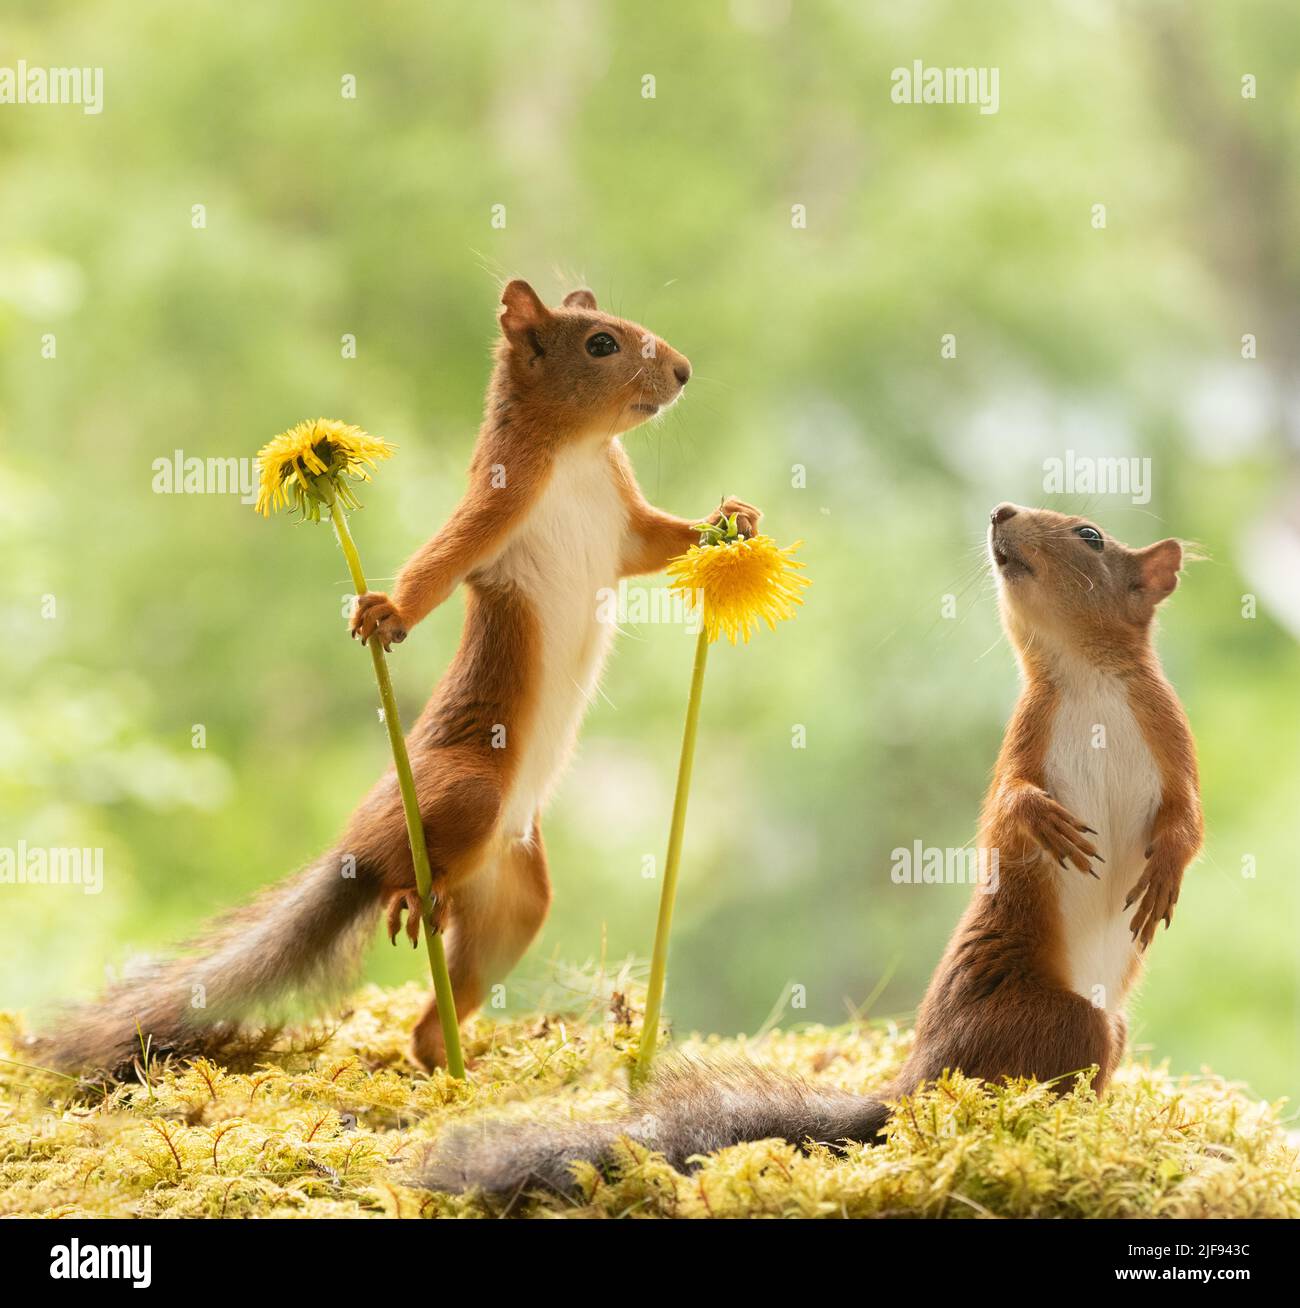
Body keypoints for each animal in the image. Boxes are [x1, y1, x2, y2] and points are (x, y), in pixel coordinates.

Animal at [38, 279, 761, 1078]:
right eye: (602, 343)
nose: (684, 372)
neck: (578, 455)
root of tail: (359, 848)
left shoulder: (624, 521)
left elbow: (664, 541)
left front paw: (731, 518)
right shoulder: (498, 500)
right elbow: (439, 563)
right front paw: (387, 611)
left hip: (516, 899)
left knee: (462, 976)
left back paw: (446, 1057)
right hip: (466, 791)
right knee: (401, 877)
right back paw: (414, 904)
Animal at [420, 503, 1203, 1196]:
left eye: (1091, 535)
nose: (1001, 512)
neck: (1086, 677)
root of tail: (915, 1081)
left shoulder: (1169, 734)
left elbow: (1189, 824)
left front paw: (1166, 874)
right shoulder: (1025, 737)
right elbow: (1004, 810)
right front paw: (1043, 820)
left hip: (1105, 1027)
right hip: (1062, 1021)